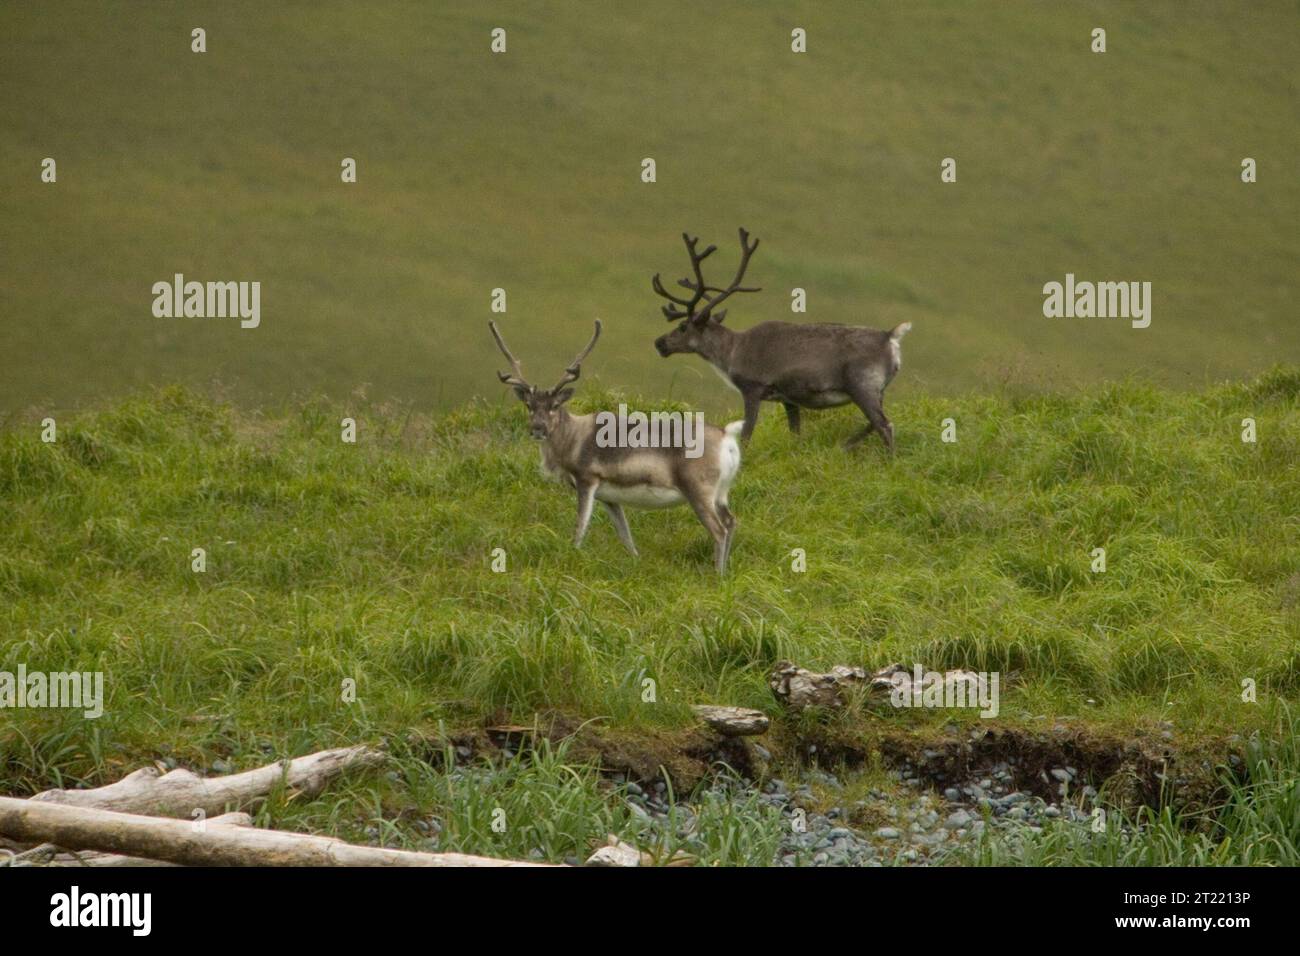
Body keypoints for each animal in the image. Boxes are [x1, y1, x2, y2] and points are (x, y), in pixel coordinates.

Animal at [489, 319, 744, 573]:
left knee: (719, 530)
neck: (572, 439)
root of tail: (726, 437)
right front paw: (636, 563)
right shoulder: (609, 498)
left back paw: (717, 575)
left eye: (554, 405)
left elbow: (579, 530)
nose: (538, 429)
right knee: (731, 521)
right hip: (720, 493)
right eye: (529, 405)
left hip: (699, 490)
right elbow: (626, 536)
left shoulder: (587, 480)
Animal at [652, 228, 912, 452]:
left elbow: (746, 435)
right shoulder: (789, 399)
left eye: (682, 326)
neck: (731, 352)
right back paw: (845, 446)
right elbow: (795, 432)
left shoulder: (752, 388)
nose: (659, 343)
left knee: (884, 425)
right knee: (876, 423)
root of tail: (890, 335)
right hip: (878, 389)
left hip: (862, 385)